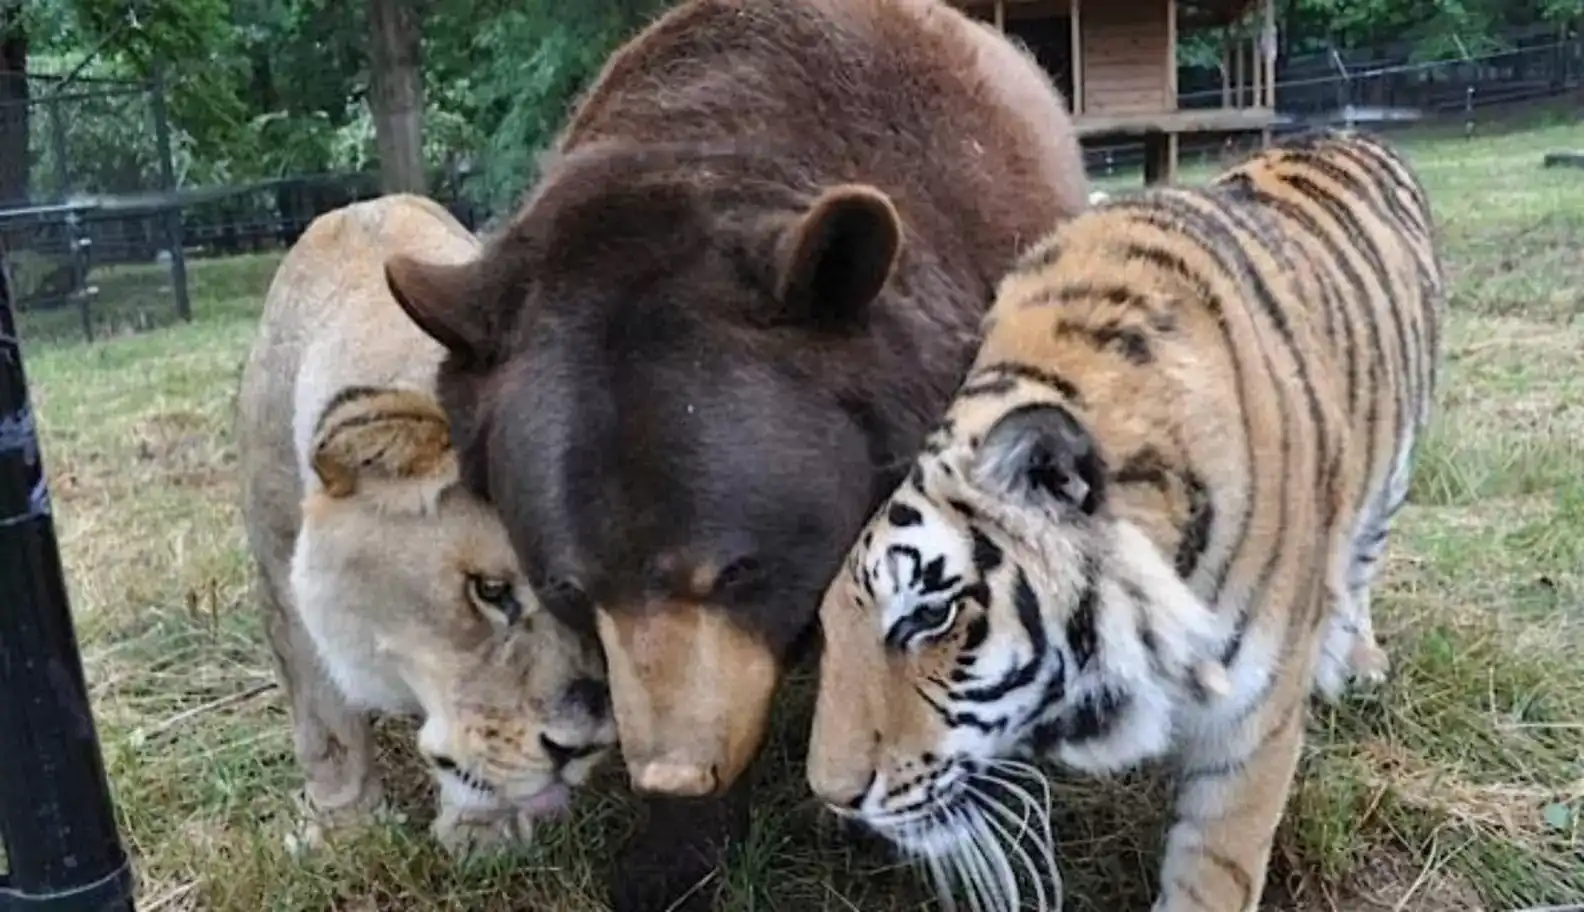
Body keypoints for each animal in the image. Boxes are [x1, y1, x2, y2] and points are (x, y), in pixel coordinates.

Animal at [236, 193, 617, 857]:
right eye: (490, 591)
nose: (583, 748)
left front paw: (483, 833)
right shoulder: (278, 569)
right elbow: (323, 720)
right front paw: (343, 827)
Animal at [805, 127, 1445, 912]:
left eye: (929, 616)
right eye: (827, 626)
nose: (832, 796)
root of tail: (1347, 132)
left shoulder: (1251, 725)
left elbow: (1215, 872)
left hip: (1396, 470)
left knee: (1358, 566)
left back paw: (1354, 662)